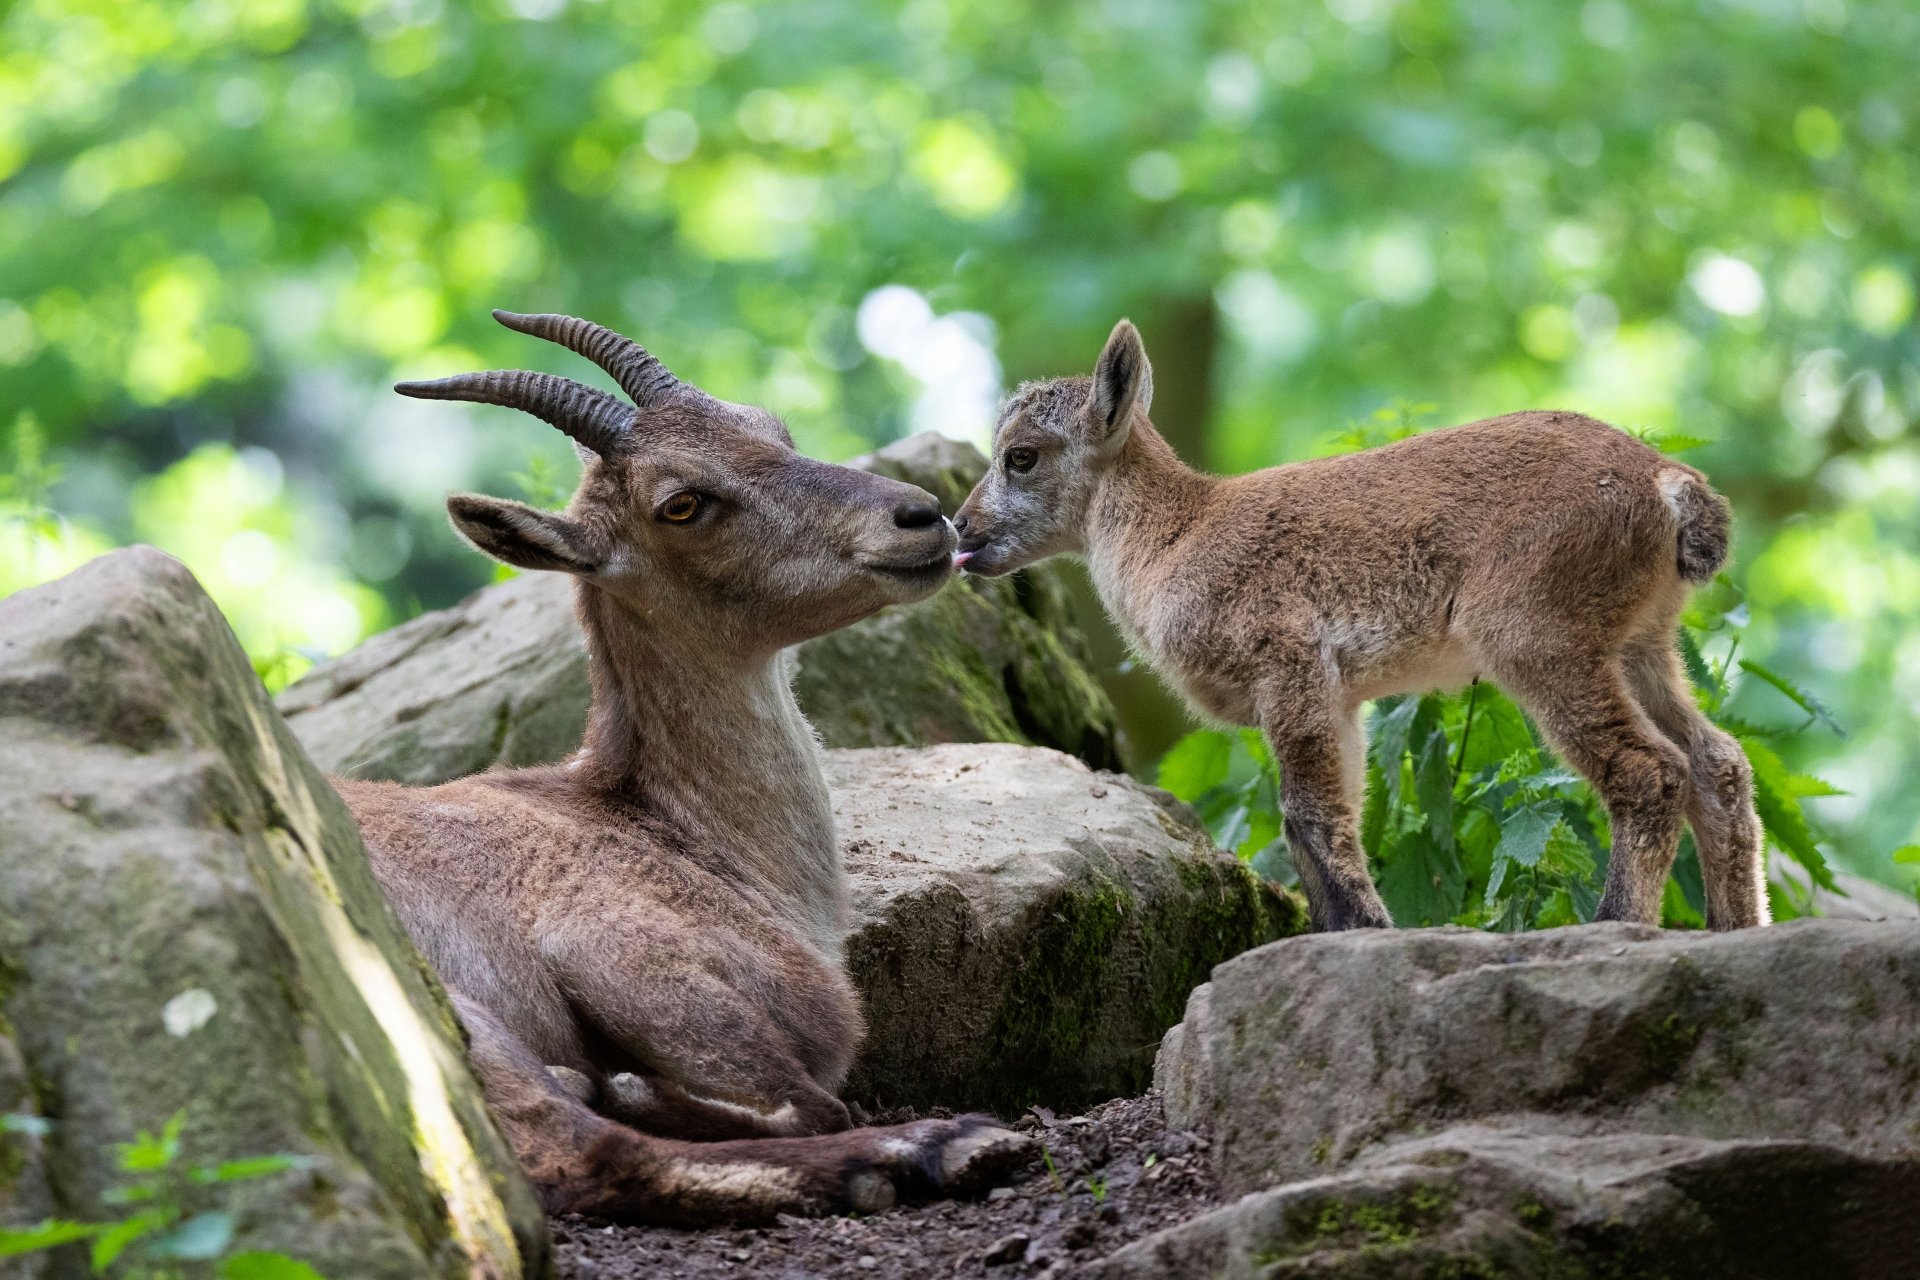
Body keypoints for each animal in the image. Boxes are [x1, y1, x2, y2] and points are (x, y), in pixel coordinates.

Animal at [336, 311, 1028, 1225]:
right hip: (424, 1001)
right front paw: (636, 1088)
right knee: (579, 1151)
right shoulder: (616, 946)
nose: (920, 517)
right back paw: (930, 1147)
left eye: (771, 428)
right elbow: (812, 1096)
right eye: (683, 503)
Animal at [952, 319, 1766, 934]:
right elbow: (1321, 815)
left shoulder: (1290, 661)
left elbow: (1311, 814)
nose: (962, 531)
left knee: (1651, 770)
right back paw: (1735, 926)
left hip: (1538, 633)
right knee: (1718, 762)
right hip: (1639, 642)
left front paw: (1364, 932)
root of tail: (1669, 486)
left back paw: (1615, 923)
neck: (1178, 538)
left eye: (1020, 456)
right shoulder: (1344, 697)